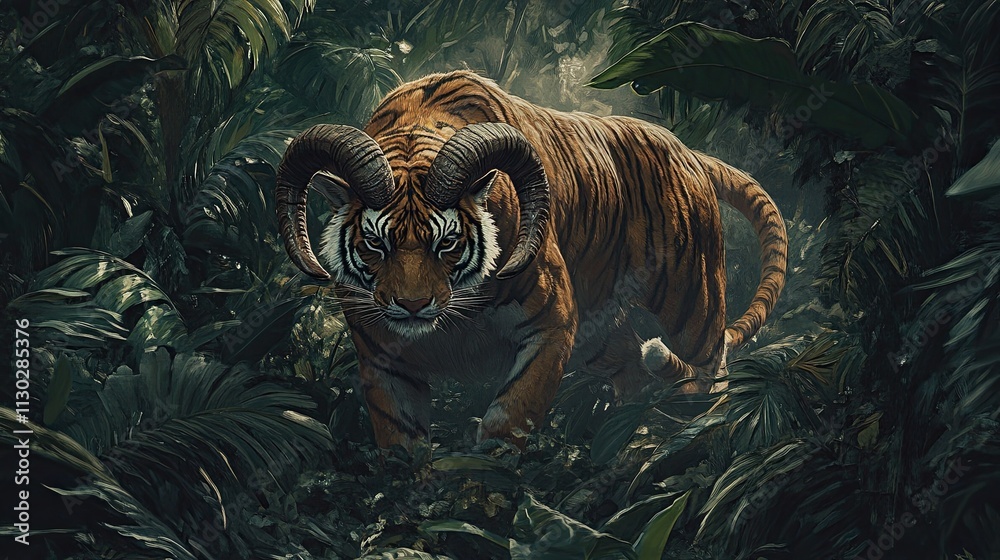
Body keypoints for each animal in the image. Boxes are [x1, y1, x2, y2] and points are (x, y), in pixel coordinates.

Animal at [275, 70, 787, 451]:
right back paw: (622, 438)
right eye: (375, 244)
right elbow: (401, 442)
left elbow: (511, 416)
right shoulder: (382, 356)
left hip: (691, 300)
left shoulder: (551, 323)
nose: (413, 306)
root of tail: (687, 151)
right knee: (635, 368)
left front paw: (484, 492)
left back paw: (697, 439)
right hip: (602, 334)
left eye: (448, 243)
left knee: (713, 371)